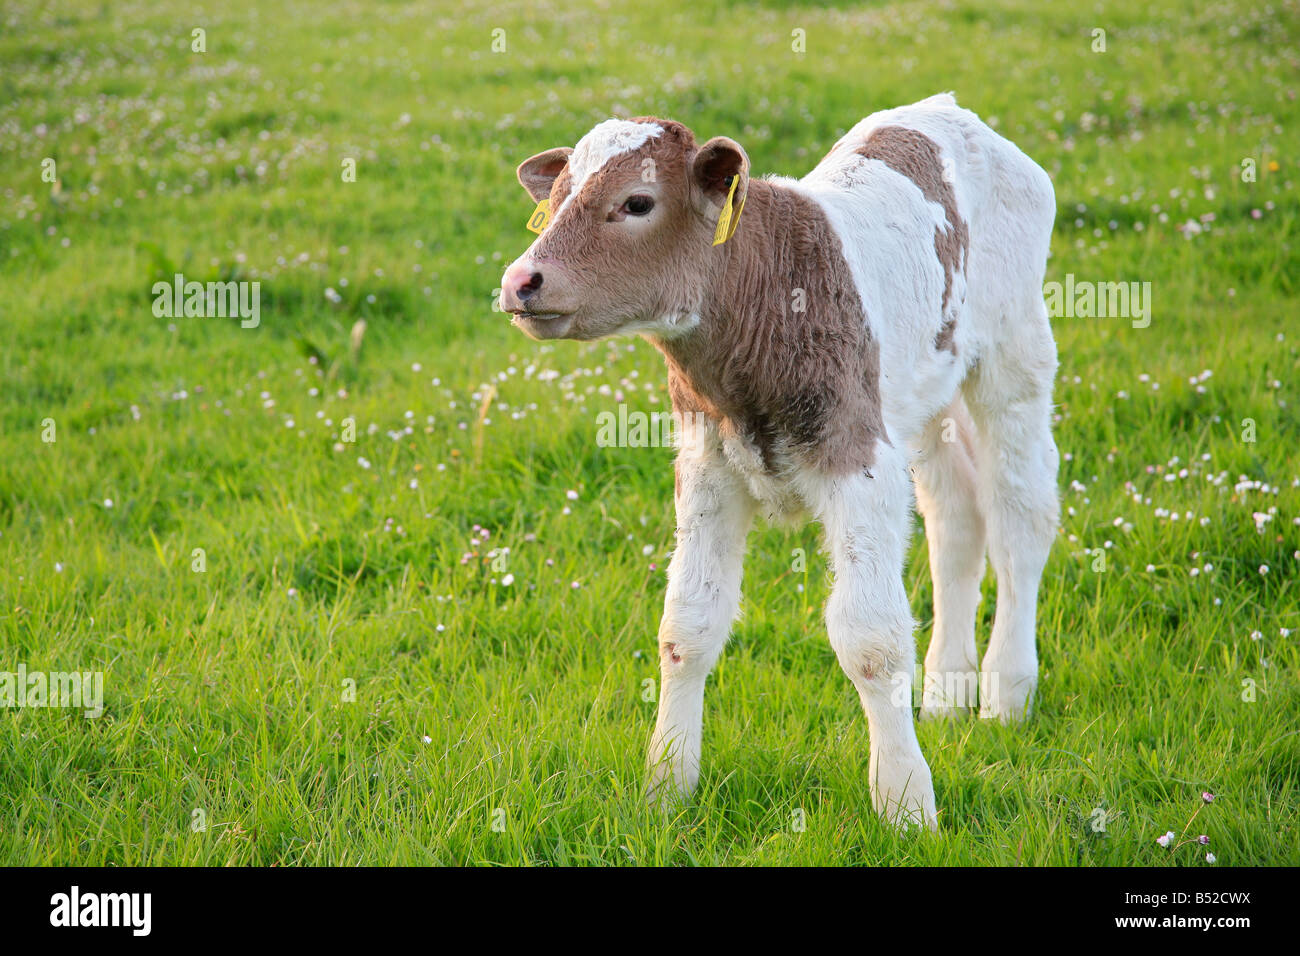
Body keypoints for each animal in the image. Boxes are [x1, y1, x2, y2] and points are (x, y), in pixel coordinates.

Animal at [499, 93, 1059, 830]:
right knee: (956, 517)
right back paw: (946, 690)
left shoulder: (857, 456)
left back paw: (1006, 694)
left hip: (1014, 355)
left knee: (1020, 514)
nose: (520, 281)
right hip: (923, 400)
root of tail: (952, 111)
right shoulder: (706, 468)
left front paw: (906, 803)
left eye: (637, 202)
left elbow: (871, 639)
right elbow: (687, 625)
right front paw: (667, 786)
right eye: (557, 199)